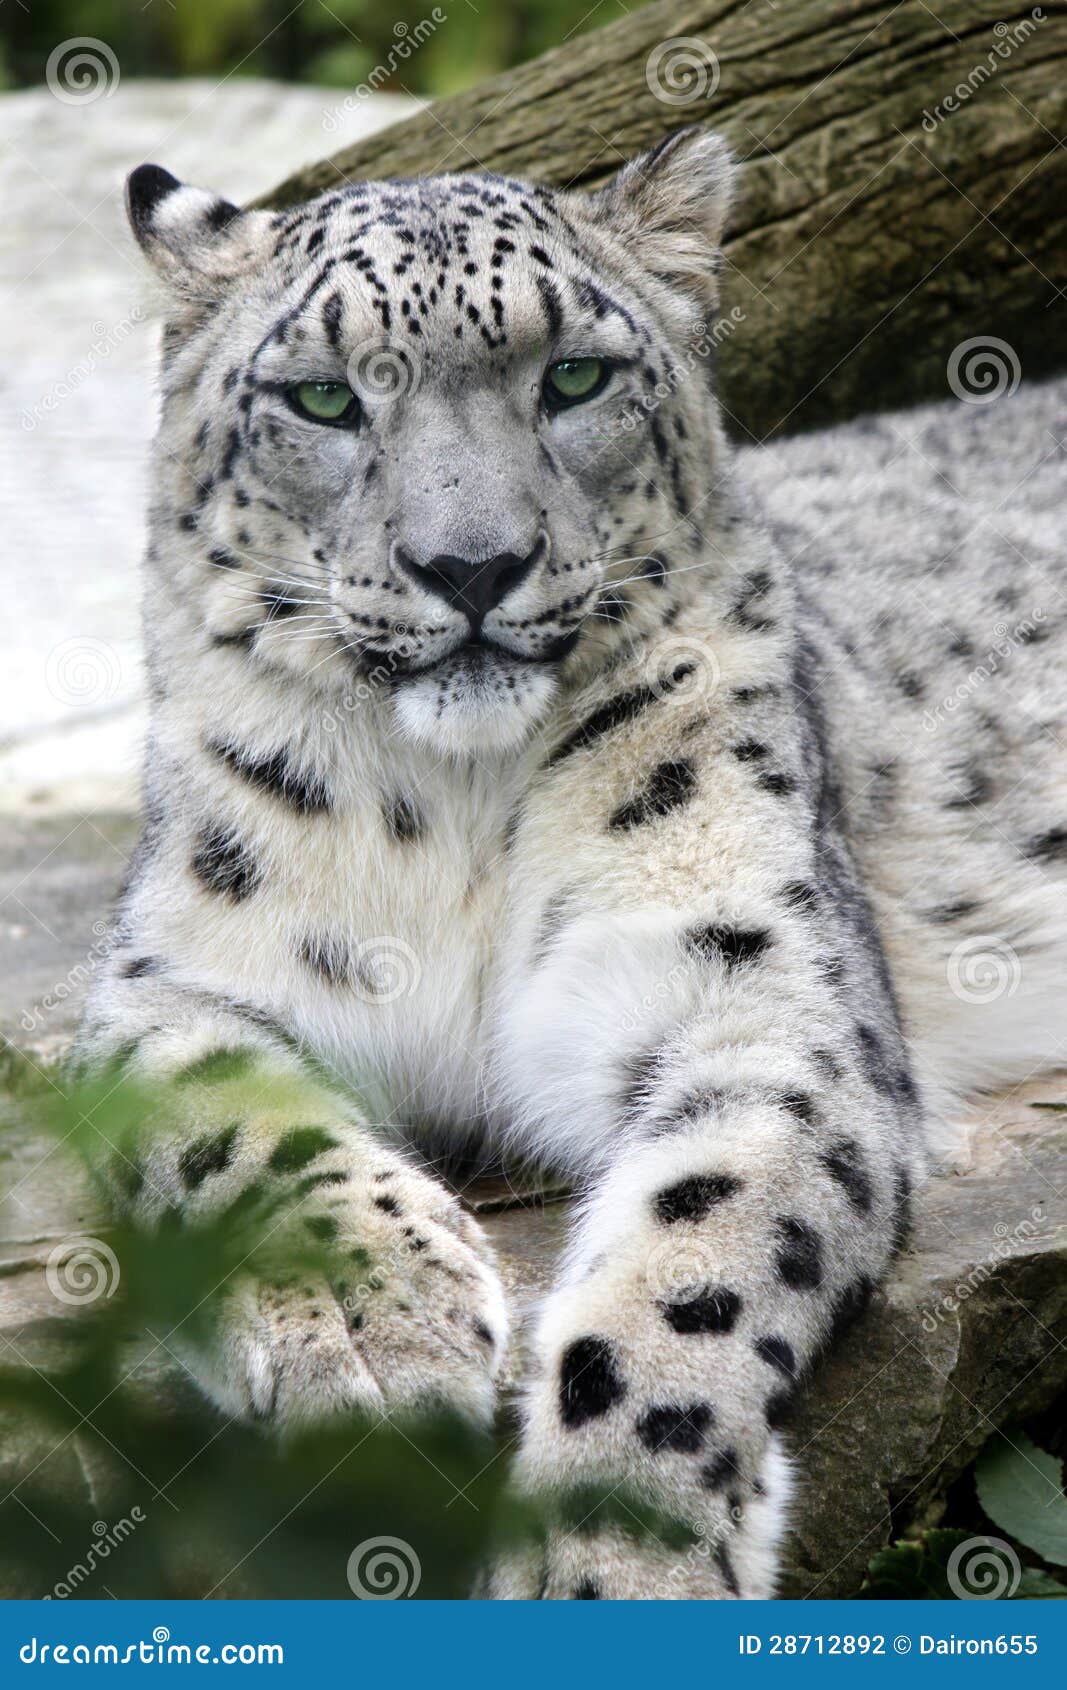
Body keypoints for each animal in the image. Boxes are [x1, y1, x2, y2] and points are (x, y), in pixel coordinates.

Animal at [75, 127, 1067, 1599]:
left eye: (575, 377)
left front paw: (617, 1552)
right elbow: (232, 1123)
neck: (455, 810)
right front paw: (372, 1333)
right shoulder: (177, 979)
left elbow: (692, 1255)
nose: (470, 565)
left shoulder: (749, 989)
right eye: (322, 398)